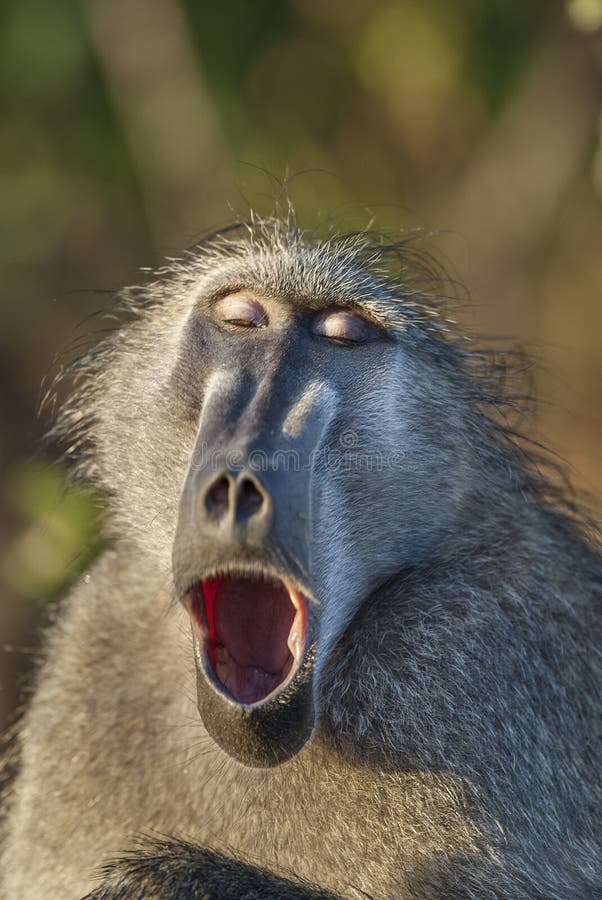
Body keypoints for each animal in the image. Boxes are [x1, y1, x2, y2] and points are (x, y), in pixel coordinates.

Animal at [0, 216, 600, 899]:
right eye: (241, 319)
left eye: (344, 335)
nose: (240, 486)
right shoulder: (97, 639)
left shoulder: (477, 649)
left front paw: (175, 879)